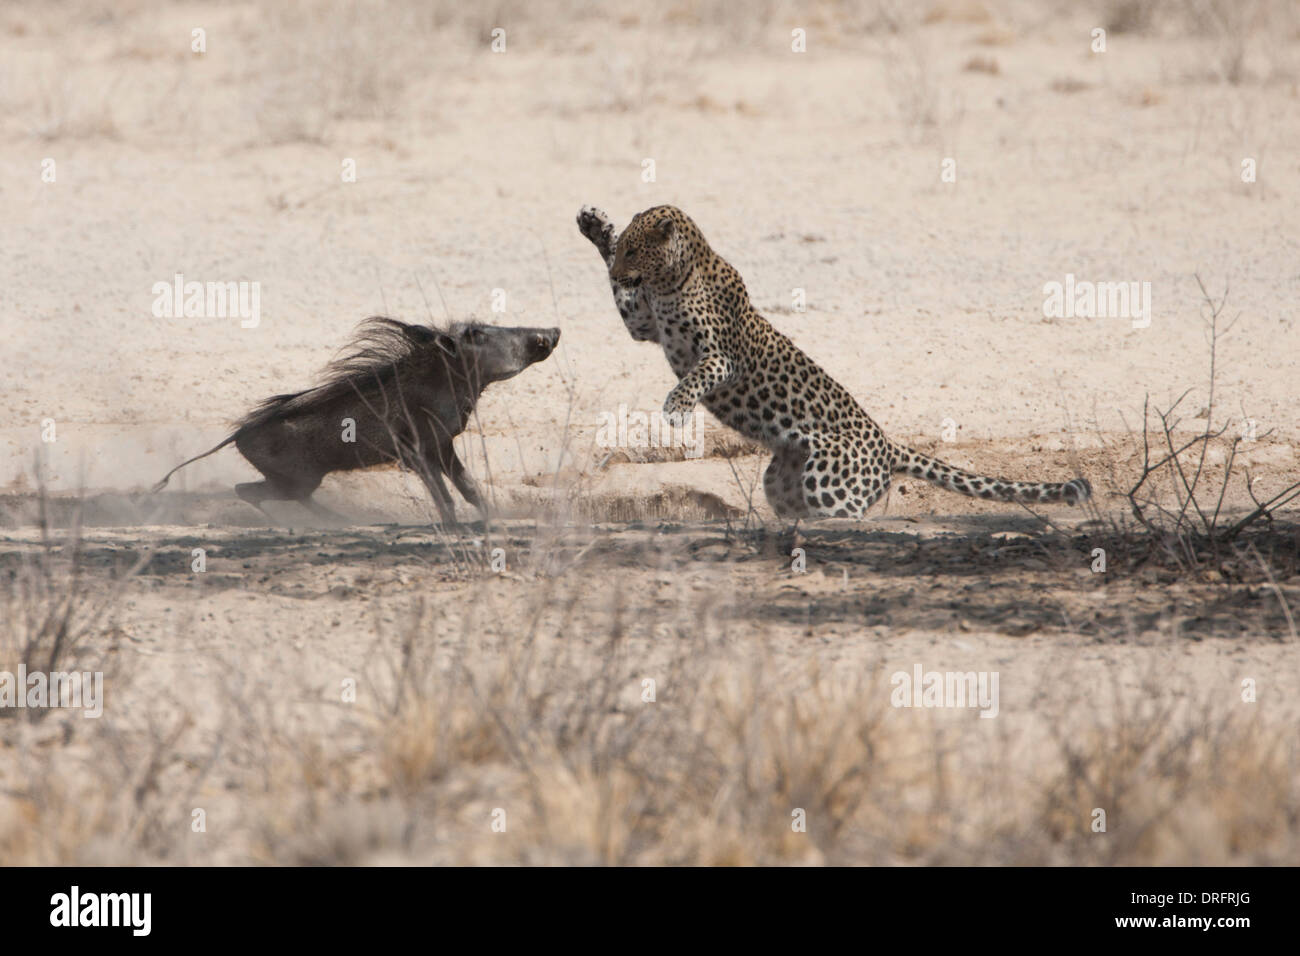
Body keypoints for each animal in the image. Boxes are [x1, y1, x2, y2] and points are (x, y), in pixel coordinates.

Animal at [576, 203, 1091, 520]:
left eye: (636, 248)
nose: (622, 264)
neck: (672, 279)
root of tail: (888, 444)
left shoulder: (720, 355)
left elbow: (697, 375)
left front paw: (677, 410)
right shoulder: (644, 324)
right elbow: (622, 296)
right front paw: (595, 227)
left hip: (830, 479)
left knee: (847, 512)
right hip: (781, 477)